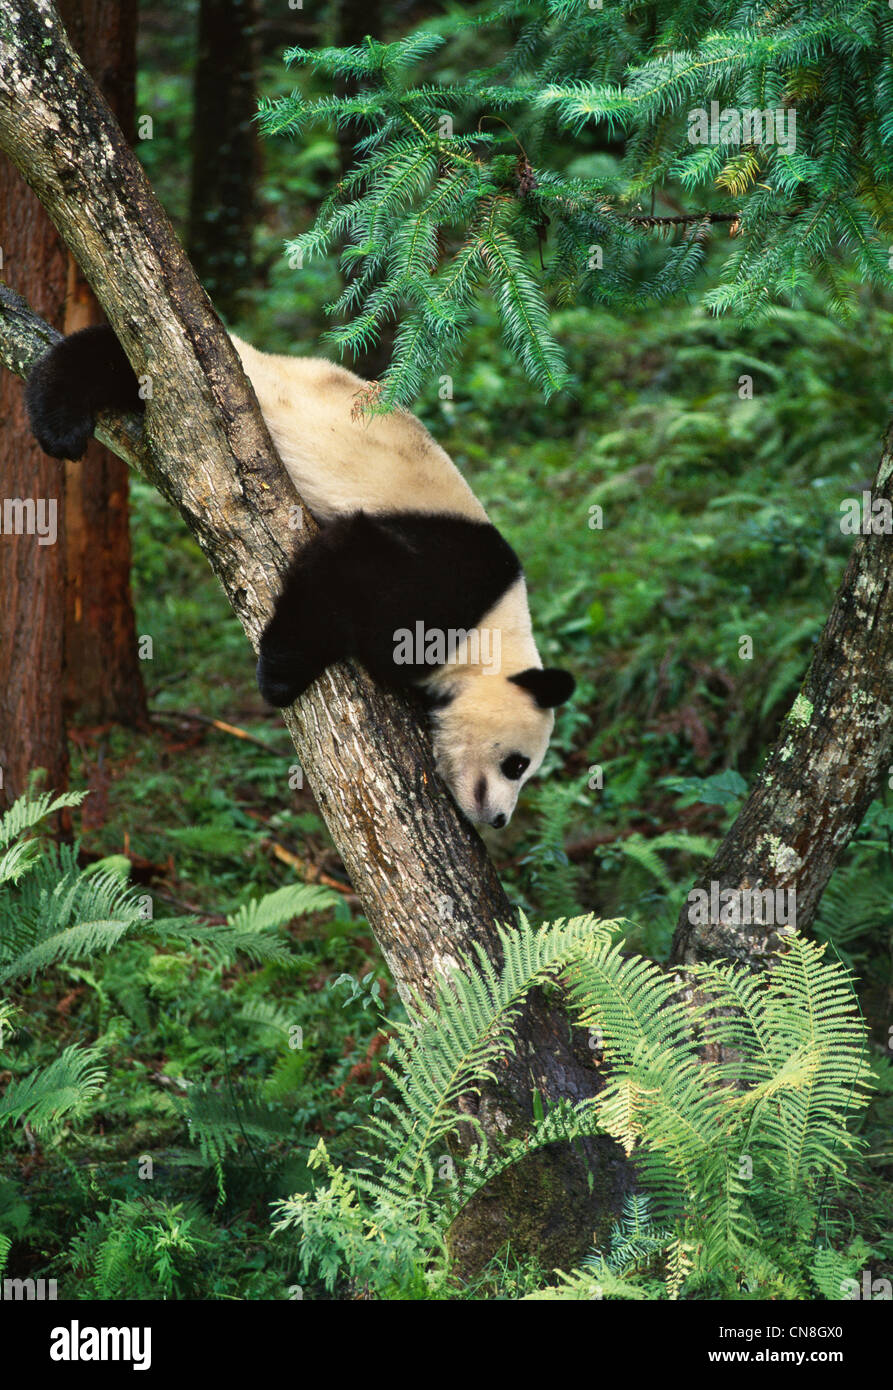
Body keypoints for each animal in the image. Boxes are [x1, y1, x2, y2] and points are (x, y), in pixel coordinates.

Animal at [25, 325, 575, 828]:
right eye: (517, 765)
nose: (499, 819)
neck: (495, 626)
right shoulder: (445, 579)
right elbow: (343, 568)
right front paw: (279, 678)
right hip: (196, 377)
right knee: (109, 356)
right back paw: (58, 424)